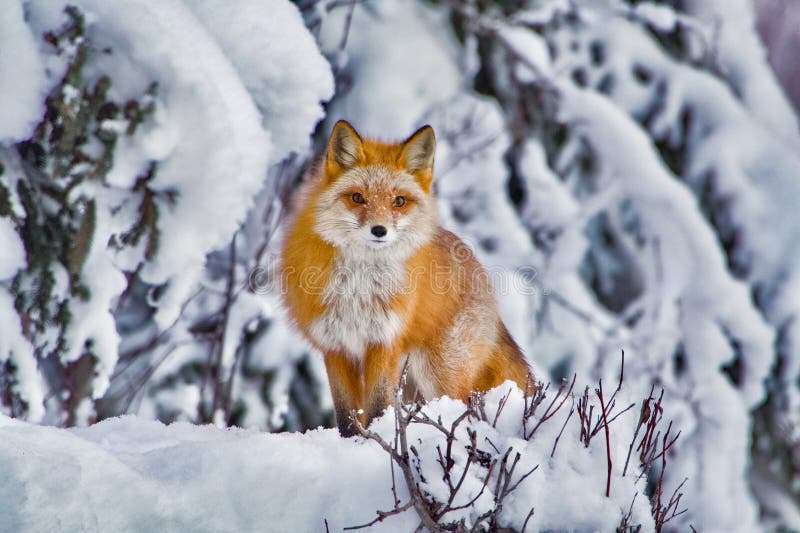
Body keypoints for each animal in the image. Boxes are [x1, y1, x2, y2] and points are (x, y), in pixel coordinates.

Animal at [280, 120, 533, 437]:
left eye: (398, 201)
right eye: (357, 198)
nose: (379, 230)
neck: (358, 286)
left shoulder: (384, 341)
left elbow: (378, 406)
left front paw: (379, 439)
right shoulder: (335, 345)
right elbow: (347, 414)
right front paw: (352, 441)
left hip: (439, 374)